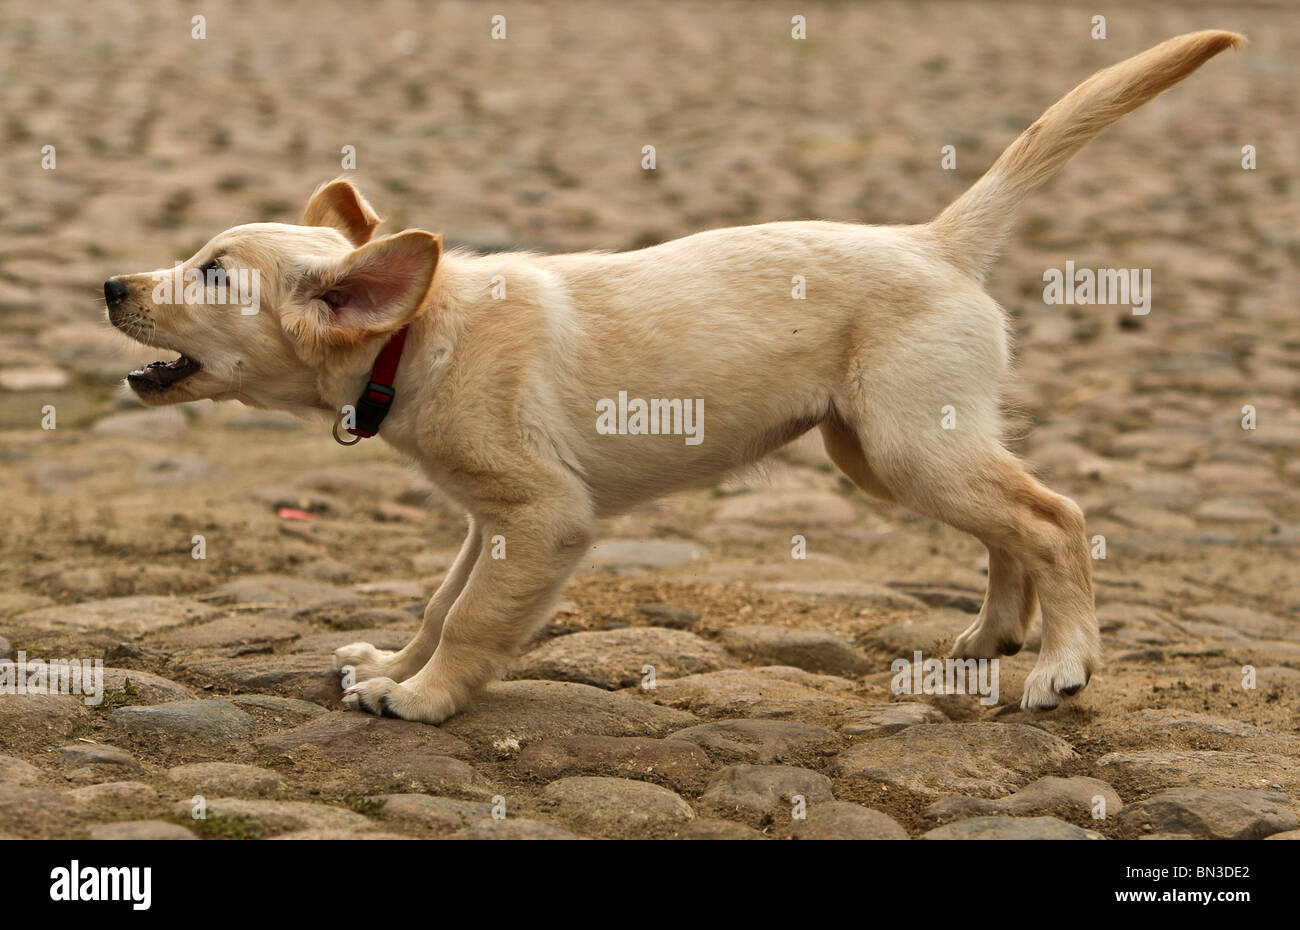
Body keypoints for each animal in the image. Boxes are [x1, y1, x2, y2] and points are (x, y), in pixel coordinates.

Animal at [104, 32, 1237, 723]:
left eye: (212, 271)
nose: (111, 284)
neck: (421, 333)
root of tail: (938, 238)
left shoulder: (543, 515)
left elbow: (473, 619)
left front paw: (422, 699)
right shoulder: (489, 518)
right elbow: (441, 600)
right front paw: (395, 664)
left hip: (910, 442)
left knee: (1052, 515)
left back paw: (1063, 662)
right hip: (882, 449)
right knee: (1009, 523)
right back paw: (997, 633)